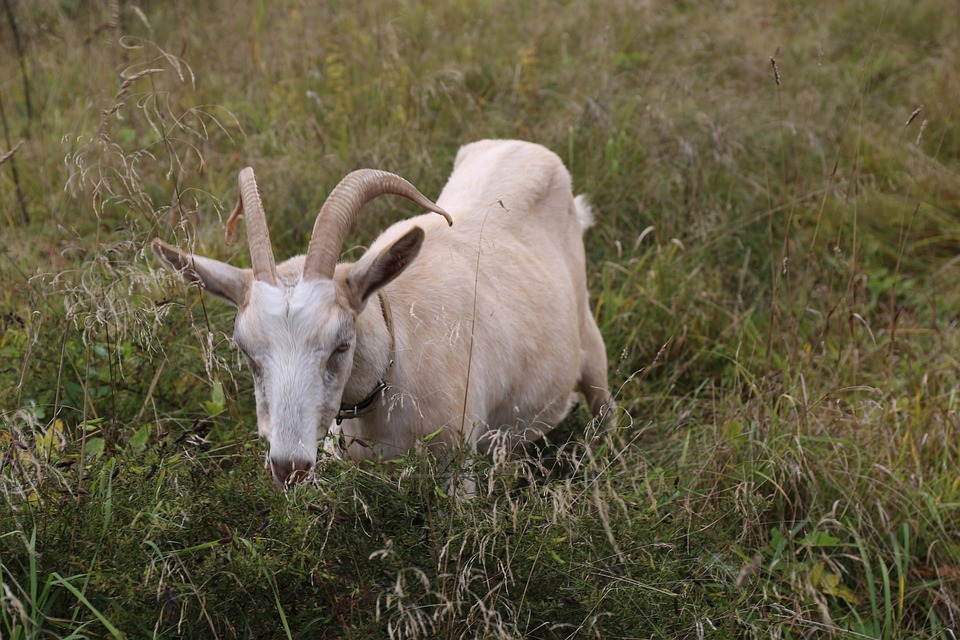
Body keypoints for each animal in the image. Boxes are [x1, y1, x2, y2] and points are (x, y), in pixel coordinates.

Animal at [152, 139, 613, 486]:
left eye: (341, 344)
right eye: (247, 352)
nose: (289, 467)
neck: (395, 358)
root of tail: (524, 147)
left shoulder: (458, 461)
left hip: (591, 345)